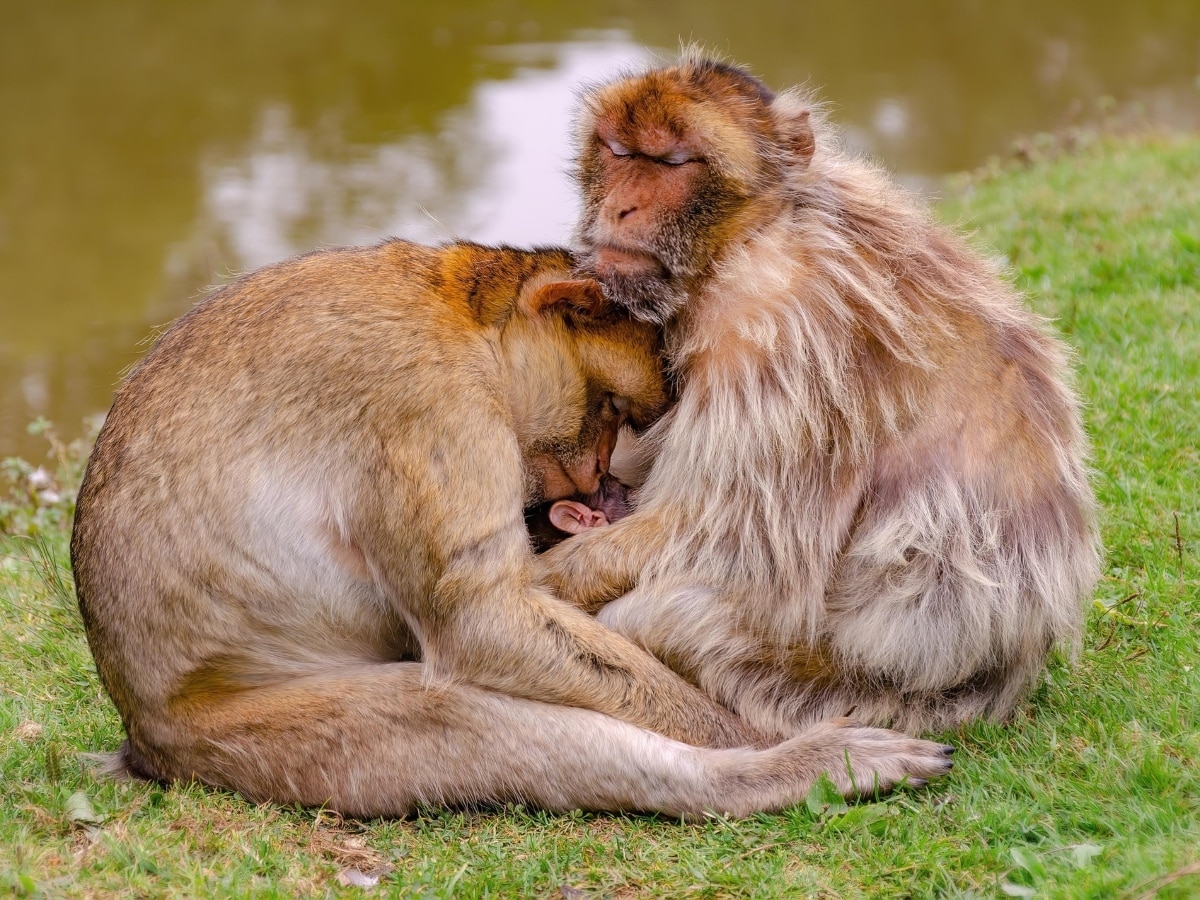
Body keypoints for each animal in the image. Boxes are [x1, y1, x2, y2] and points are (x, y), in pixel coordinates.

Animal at [70, 239, 954, 818]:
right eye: (611, 409)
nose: (594, 480)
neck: (459, 314)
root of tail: (142, 731)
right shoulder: (429, 402)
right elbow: (480, 618)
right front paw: (746, 733)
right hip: (237, 739)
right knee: (448, 713)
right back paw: (773, 775)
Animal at [537, 55, 1102, 738]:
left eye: (673, 162)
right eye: (618, 152)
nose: (622, 207)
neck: (748, 238)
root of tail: (1011, 666)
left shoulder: (778, 330)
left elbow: (731, 537)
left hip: (836, 687)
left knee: (676, 610)